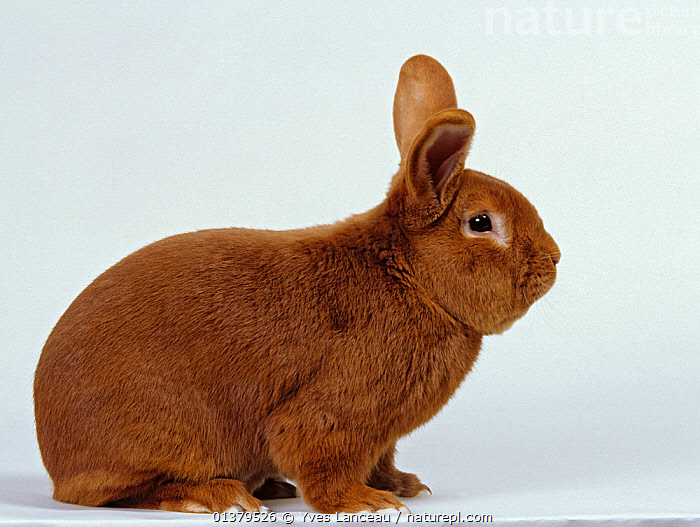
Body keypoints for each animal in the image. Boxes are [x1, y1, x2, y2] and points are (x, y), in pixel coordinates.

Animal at [34, 54, 560, 514]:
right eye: (480, 223)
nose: (554, 262)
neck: (409, 277)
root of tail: (57, 464)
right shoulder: (335, 414)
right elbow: (323, 464)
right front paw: (367, 503)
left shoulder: (383, 436)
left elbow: (381, 461)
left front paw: (403, 486)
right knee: (132, 490)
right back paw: (219, 496)